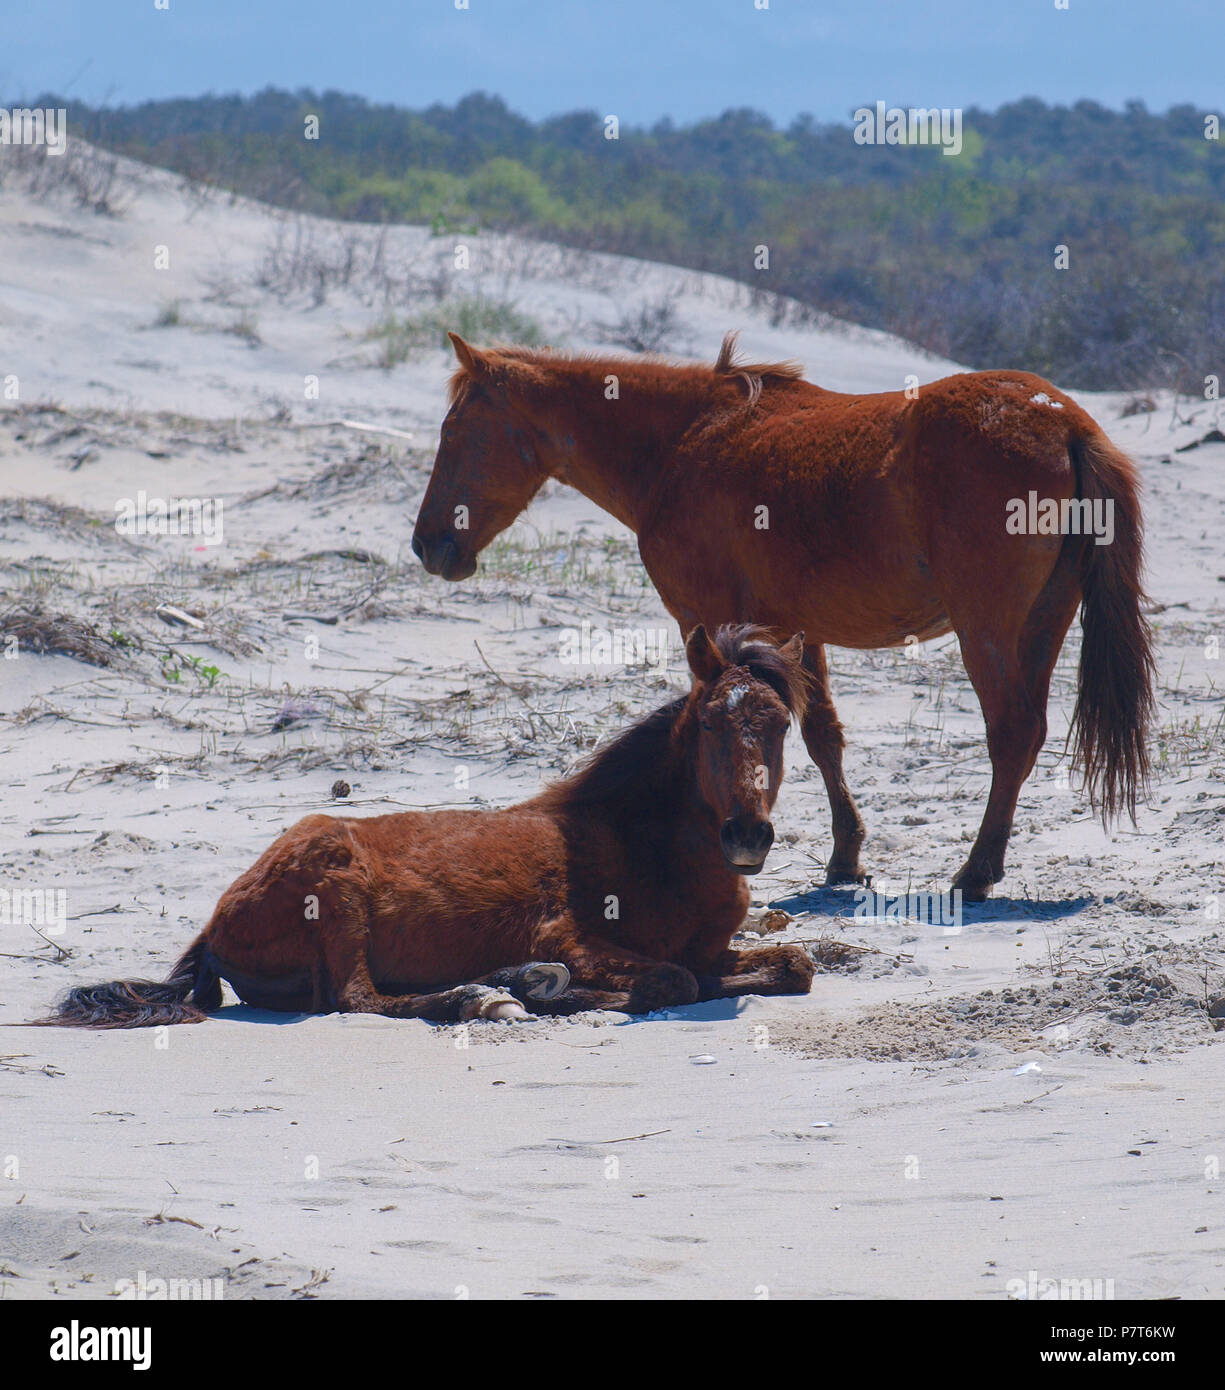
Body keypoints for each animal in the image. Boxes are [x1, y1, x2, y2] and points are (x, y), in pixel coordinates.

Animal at [37, 625, 815, 1028]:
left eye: (782, 725)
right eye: (710, 723)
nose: (746, 835)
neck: (643, 848)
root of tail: (216, 919)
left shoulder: (712, 948)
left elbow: (793, 968)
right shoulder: (572, 938)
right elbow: (672, 982)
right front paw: (555, 990)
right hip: (336, 888)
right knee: (360, 999)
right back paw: (485, 997)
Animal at [412, 332, 1155, 901]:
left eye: (455, 430)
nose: (427, 545)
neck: (684, 442)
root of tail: (1064, 421)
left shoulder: (707, 622)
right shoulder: (799, 632)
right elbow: (822, 735)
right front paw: (846, 857)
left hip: (989, 632)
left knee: (1010, 734)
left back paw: (975, 872)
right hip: (1044, 623)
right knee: (1026, 736)